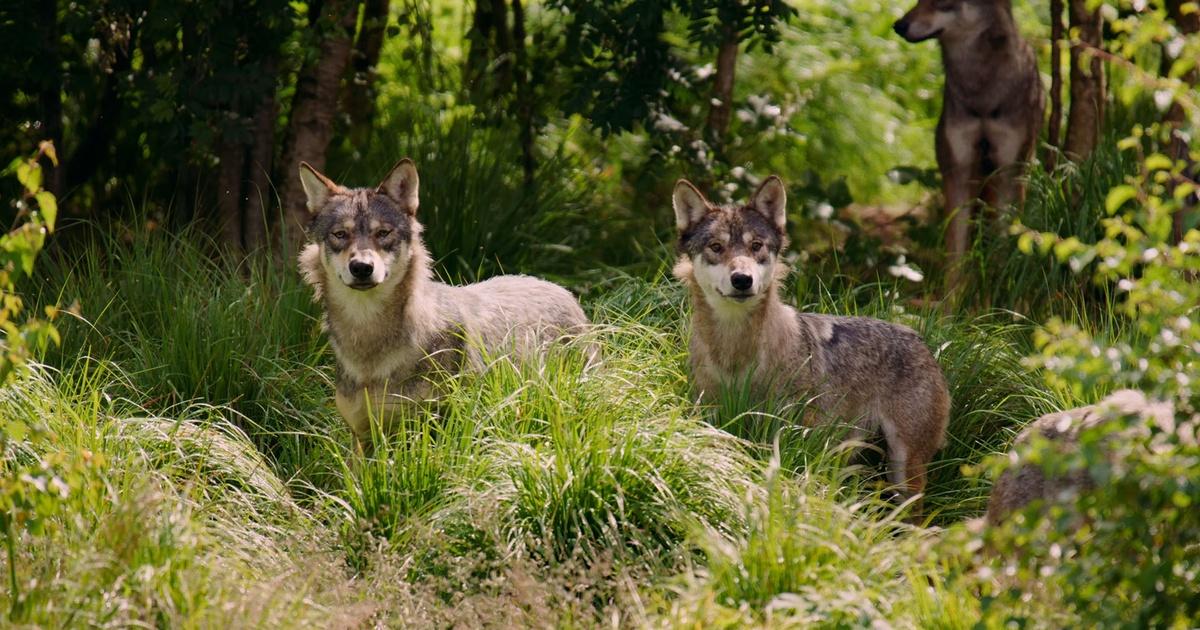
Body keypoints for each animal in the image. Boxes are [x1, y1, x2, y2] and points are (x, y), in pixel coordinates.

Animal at [297, 159, 591, 450]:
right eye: (340, 234)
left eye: (383, 233)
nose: (361, 268)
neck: (369, 346)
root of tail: (562, 290)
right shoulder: (361, 438)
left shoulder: (438, 431)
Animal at [671, 176, 951, 502]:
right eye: (717, 247)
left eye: (756, 246)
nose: (742, 280)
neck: (736, 354)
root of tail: (919, 340)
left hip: (904, 468)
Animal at [893, 0, 1044, 290]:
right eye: (917, 0)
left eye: (941, 2)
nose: (899, 25)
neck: (981, 94)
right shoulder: (957, 172)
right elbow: (956, 255)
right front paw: (952, 301)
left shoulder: (1009, 173)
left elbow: (1002, 247)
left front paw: (997, 292)